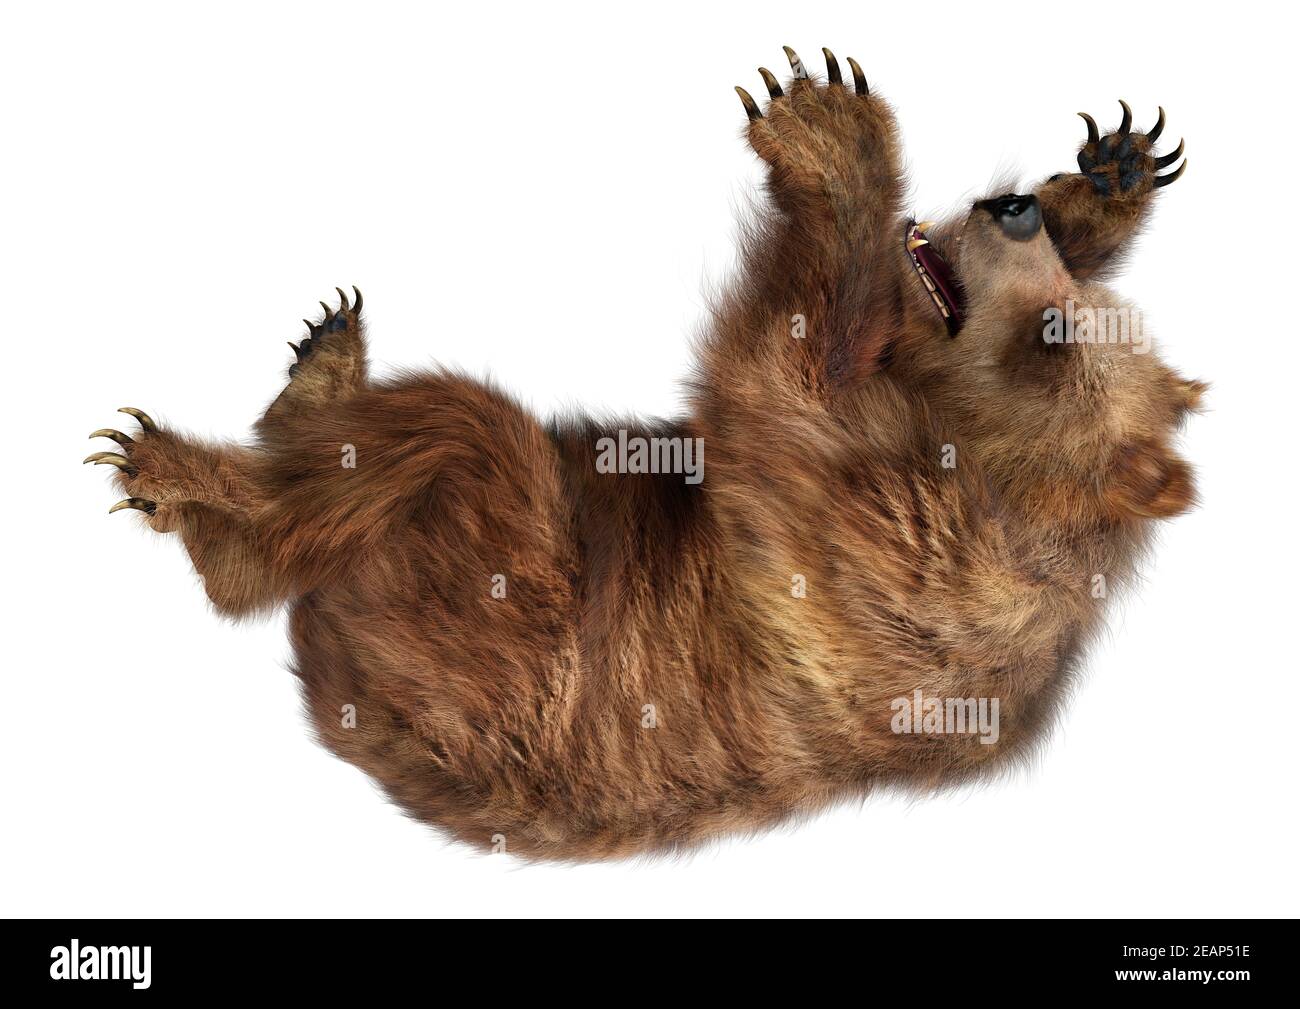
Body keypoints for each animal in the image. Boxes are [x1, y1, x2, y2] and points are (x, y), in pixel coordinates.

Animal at [85, 45, 1200, 860]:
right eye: (1068, 306)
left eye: (1054, 334)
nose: (1013, 209)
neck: (974, 454)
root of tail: (345, 700)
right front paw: (1111, 174)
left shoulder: (896, 563)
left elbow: (777, 372)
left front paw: (825, 128)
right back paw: (320, 360)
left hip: (495, 603)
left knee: (444, 434)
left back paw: (195, 486)